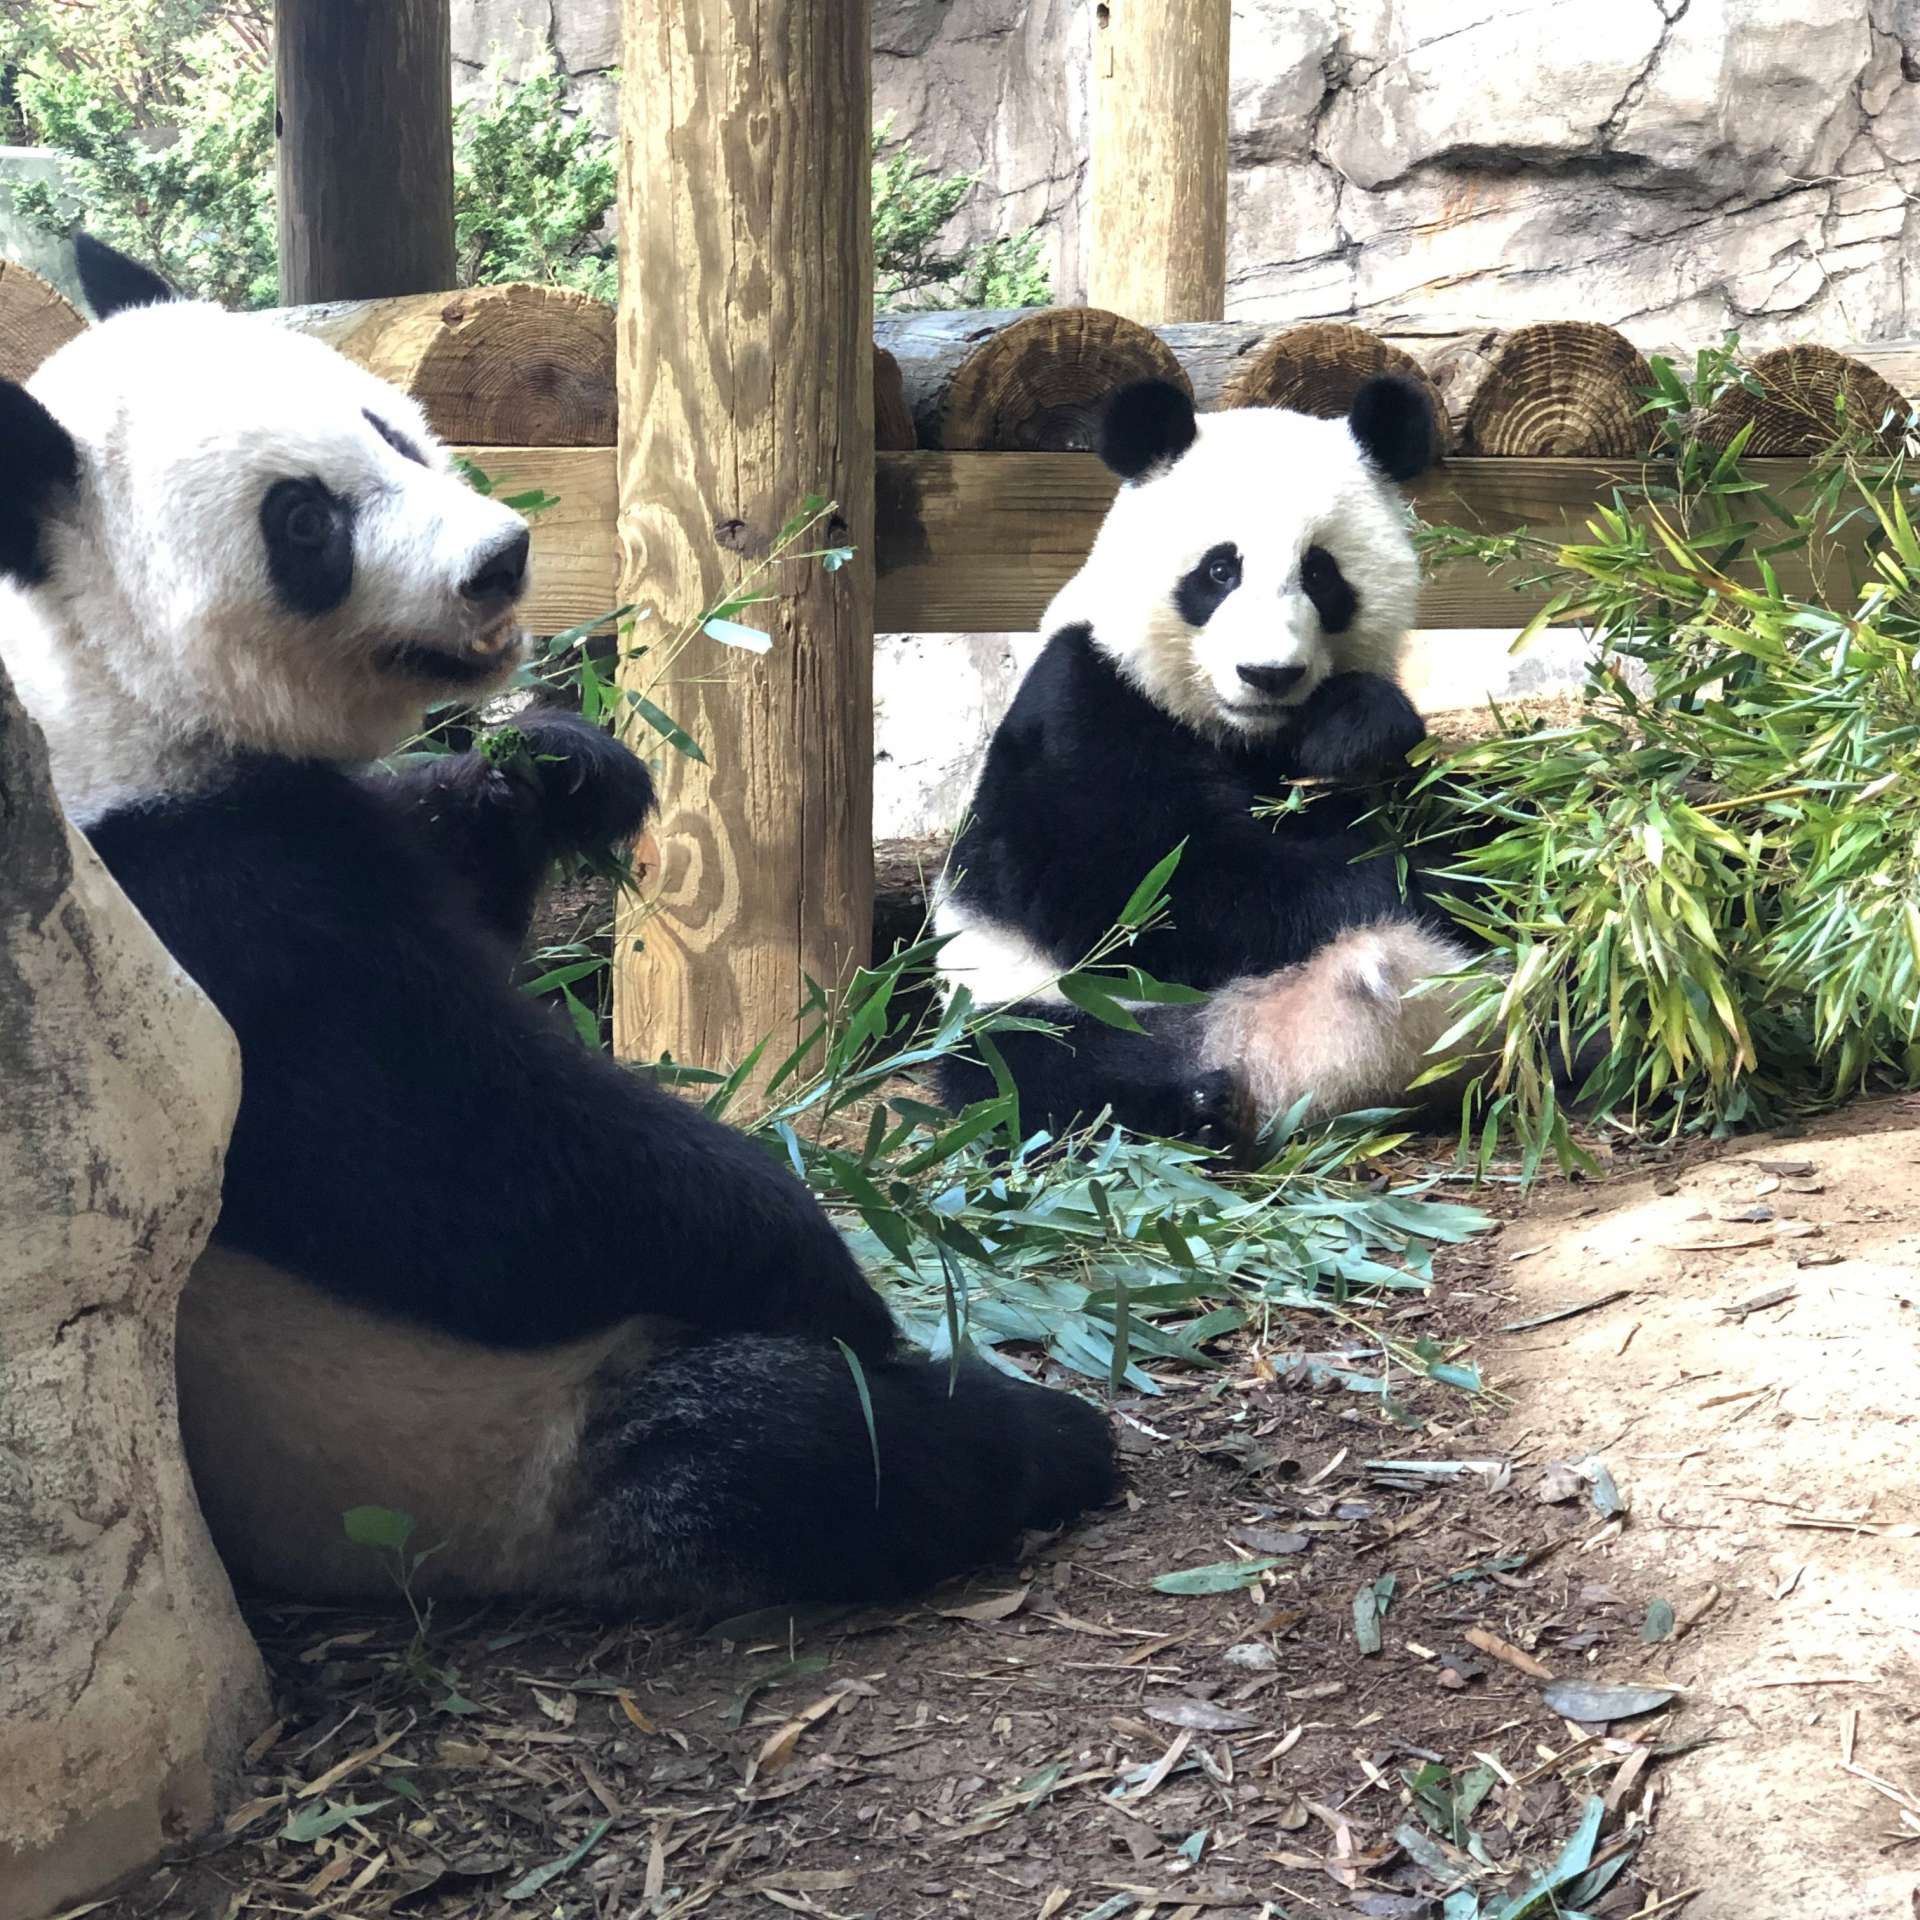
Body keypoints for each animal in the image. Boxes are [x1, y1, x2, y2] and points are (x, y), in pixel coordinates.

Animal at [0, 234, 1115, 1611]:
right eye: (304, 521)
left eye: (391, 430)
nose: (499, 559)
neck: (109, 697)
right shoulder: (208, 914)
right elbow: (479, 1176)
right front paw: (830, 1267)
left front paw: (563, 768)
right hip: (484, 1456)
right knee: (781, 1443)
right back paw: (1031, 1432)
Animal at [932, 375, 1483, 1149]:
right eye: (1220, 570)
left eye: (1321, 574)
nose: (1268, 674)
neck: (1241, 734)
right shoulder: (1085, 697)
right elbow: (1143, 882)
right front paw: (1411, 884)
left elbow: (1413, 792)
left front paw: (1356, 734)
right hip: (1032, 997)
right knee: (1030, 1074)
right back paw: (1192, 1101)